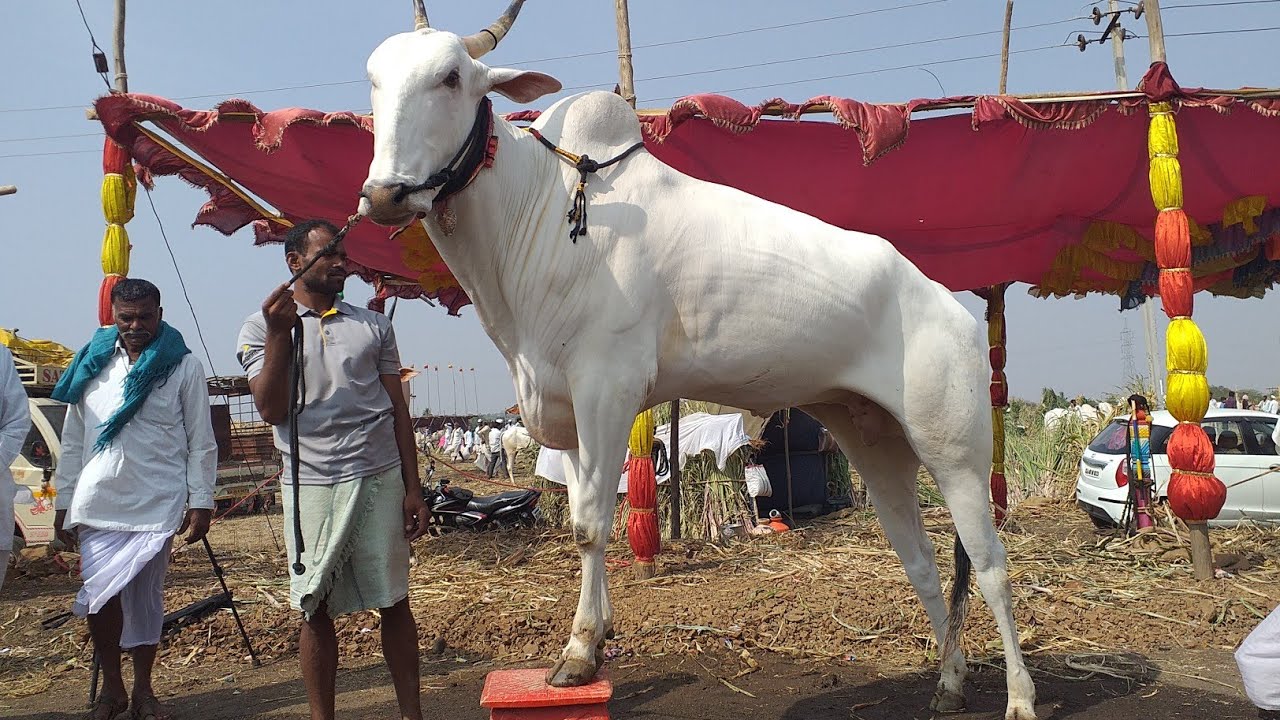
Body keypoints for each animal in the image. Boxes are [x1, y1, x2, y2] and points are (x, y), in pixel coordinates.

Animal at [358, 4, 1036, 717]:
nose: (384, 195)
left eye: (451, 77)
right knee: (922, 560)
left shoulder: (606, 388)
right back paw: (949, 682)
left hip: (954, 446)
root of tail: (951, 307)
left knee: (991, 563)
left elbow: (591, 526)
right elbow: (579, 517)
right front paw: (594, 639)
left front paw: (578, 653)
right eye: (374, 79)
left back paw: (1019, 695)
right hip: (872, 439)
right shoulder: (563, 410)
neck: (540, 211)